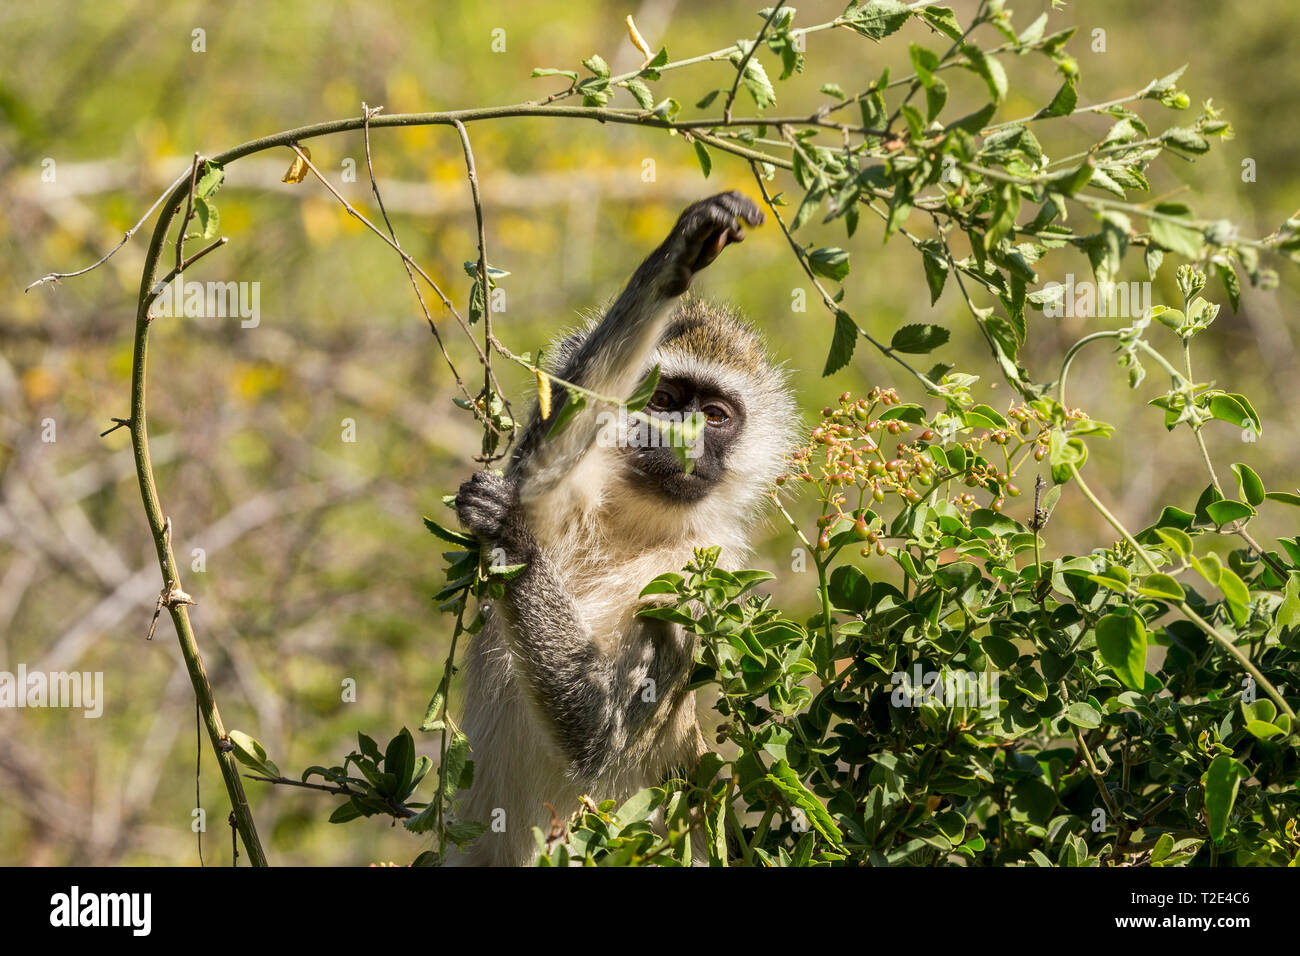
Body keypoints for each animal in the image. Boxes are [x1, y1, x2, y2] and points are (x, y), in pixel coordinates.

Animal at [447, 191, 797, 866]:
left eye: (716, 416)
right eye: (664, 401)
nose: (686, 439)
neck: (638, 530)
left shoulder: (703, 581)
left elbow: (599, 734)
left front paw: (512, 537)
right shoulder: (567, 494)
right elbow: (545, 453)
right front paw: (680, 254)